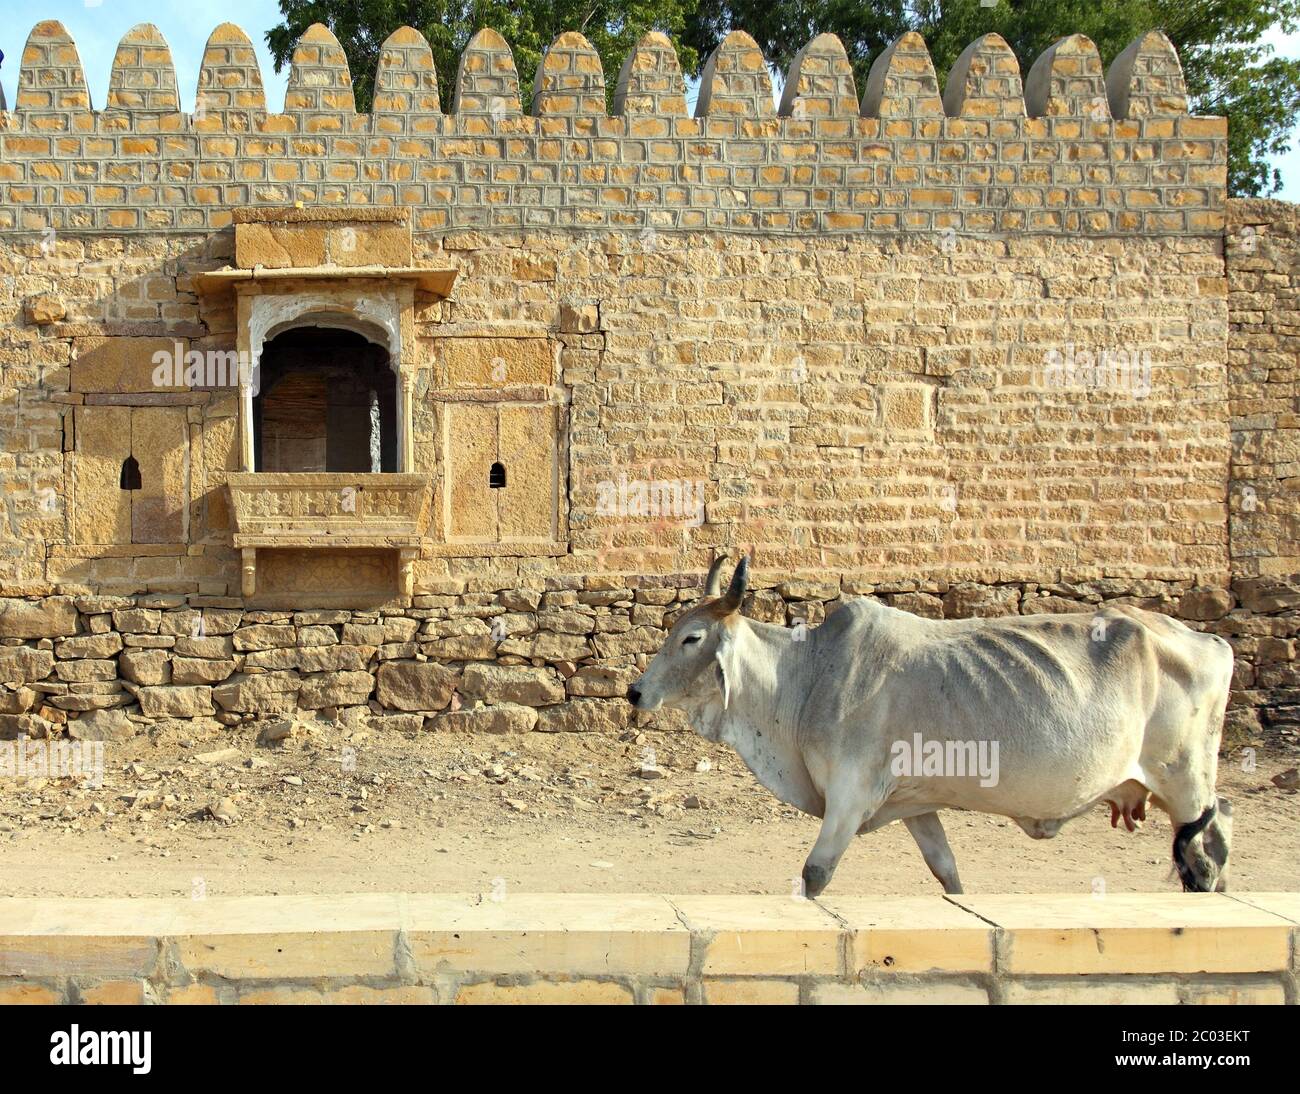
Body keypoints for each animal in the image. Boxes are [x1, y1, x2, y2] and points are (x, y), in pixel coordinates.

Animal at [627, 556, 1235, 897]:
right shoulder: (915, 803)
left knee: (1202, 859)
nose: (635, 692)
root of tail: (1210, 639)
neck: (808, 675)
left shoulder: (849, 796)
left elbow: (814, 876)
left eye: (692, 637)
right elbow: (948, 873)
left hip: (1184, 782)